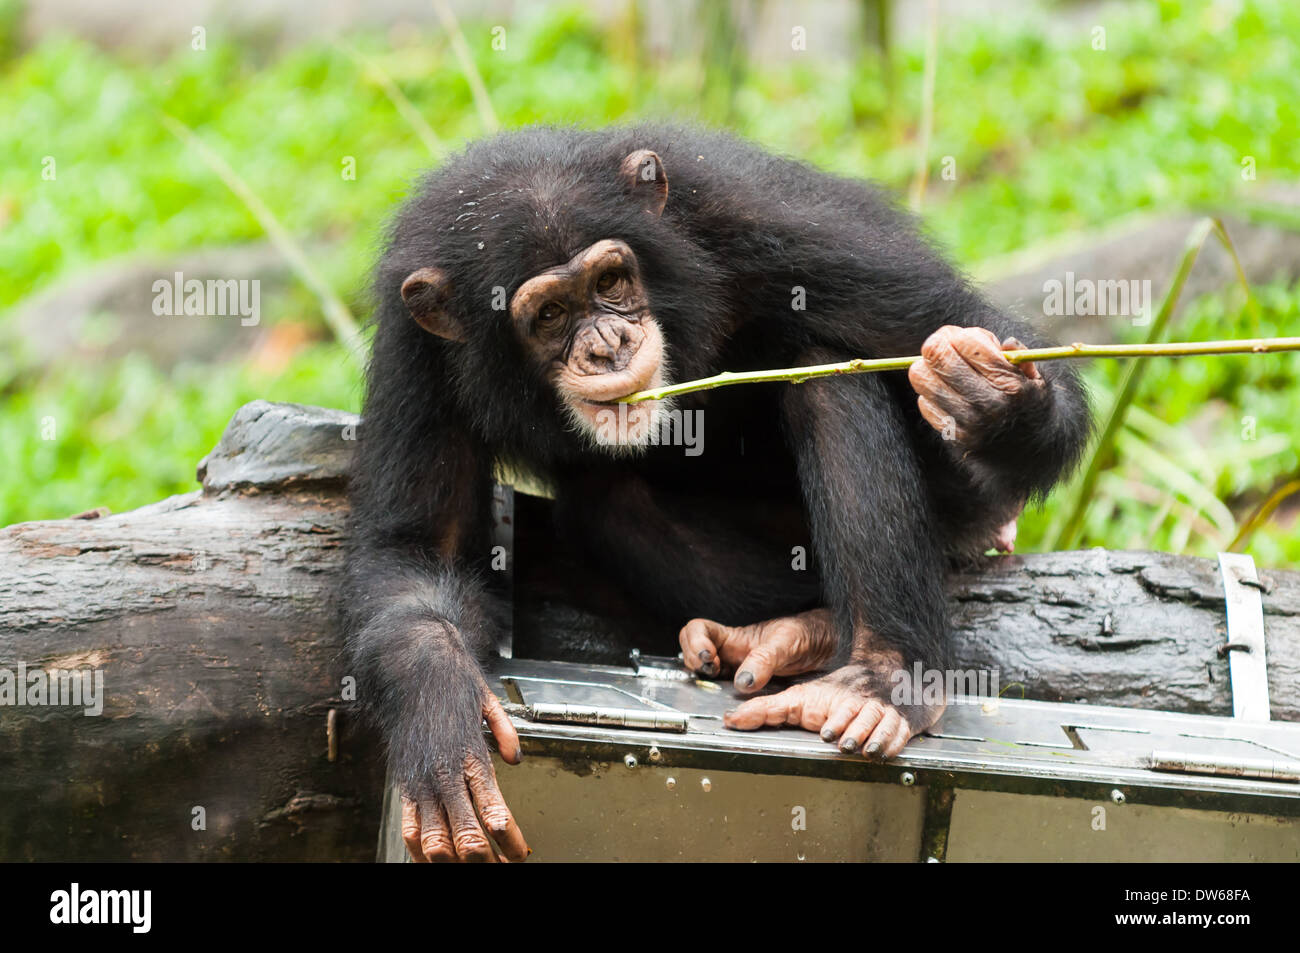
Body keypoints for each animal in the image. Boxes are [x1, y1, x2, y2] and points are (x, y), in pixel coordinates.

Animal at [343, 124, 1090, 862]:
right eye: (550, 314)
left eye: (610, 280)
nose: (608, 343)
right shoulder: (417, 342)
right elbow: (415, 553)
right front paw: (437, 708)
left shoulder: (771, 226)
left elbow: (964, 325)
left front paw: (992, 394)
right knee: (610, 500)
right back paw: (788, 634)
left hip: (960, 503)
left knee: (825, 374)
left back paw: (880, 675)